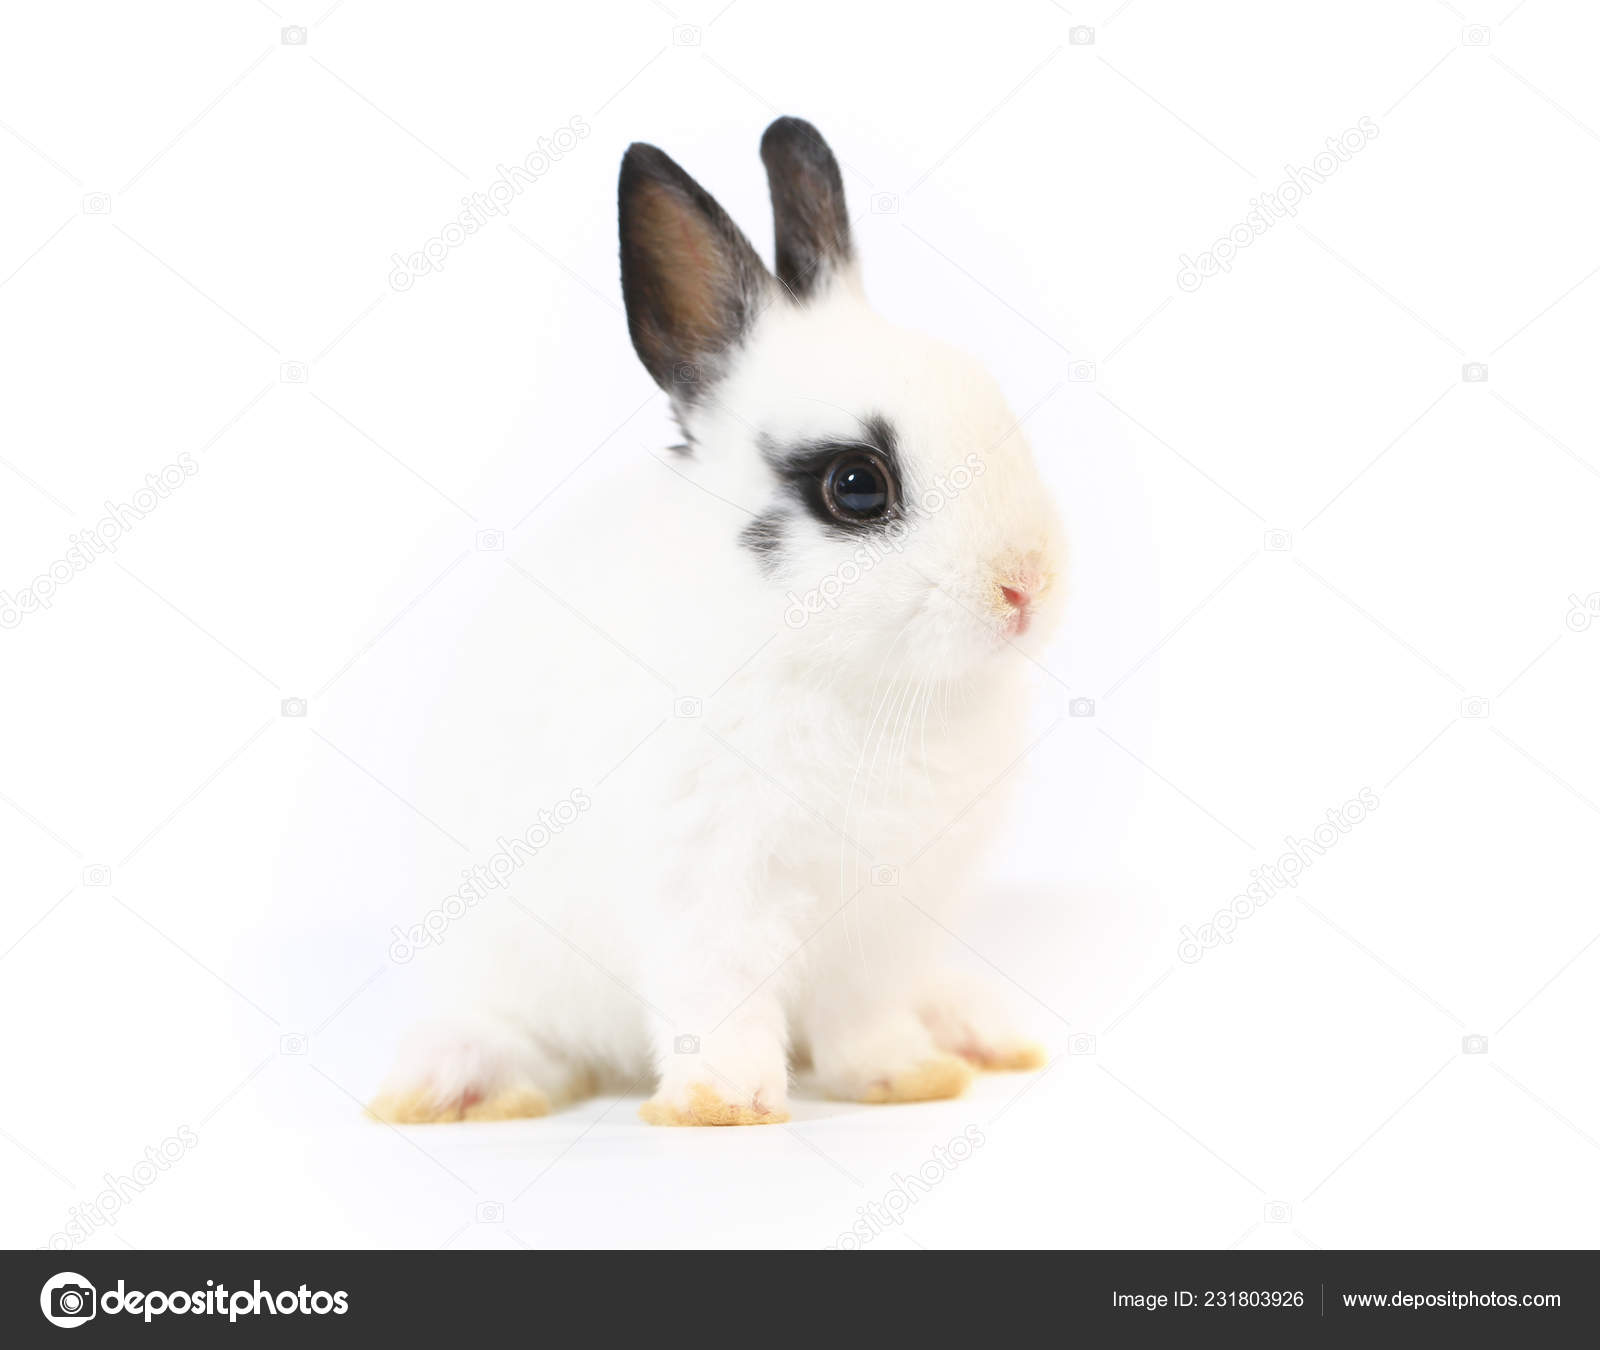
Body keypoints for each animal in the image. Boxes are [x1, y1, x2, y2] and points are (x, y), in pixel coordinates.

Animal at [369, 116, 1066, 1127]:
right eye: (857, 486)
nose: (1027, 586)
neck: (846, 677)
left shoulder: (882, 925)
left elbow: (867, 1019)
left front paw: (907, 1080)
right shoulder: (707, 890)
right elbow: (716, 1001)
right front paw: (722, 1106)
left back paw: (978, 1033)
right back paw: (452, 1084)